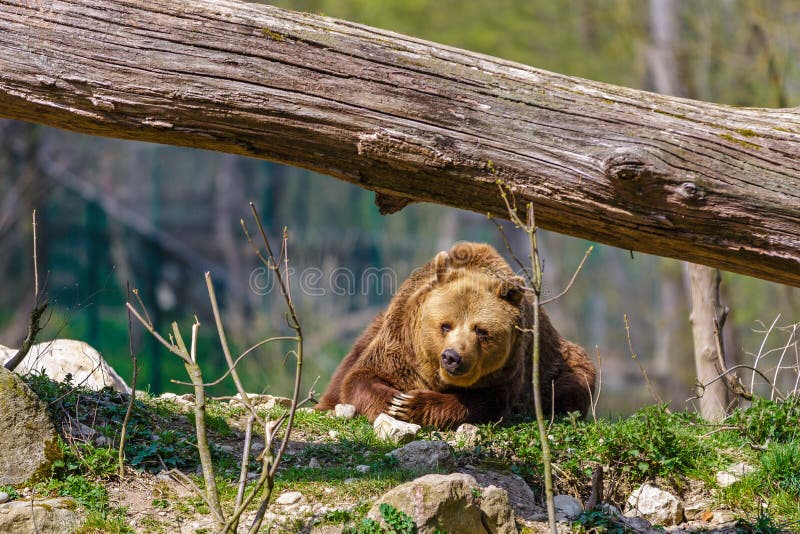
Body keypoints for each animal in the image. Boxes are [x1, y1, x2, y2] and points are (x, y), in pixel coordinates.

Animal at [315, 242, 596, 428]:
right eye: (445, 325)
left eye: (481, 330)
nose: (452, 357)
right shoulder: (401, 344)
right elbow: (361, 377)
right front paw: (396, 401)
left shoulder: (508, 370)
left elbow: (482, 404)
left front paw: (411, 404)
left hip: (561, 365)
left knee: (574, 383)